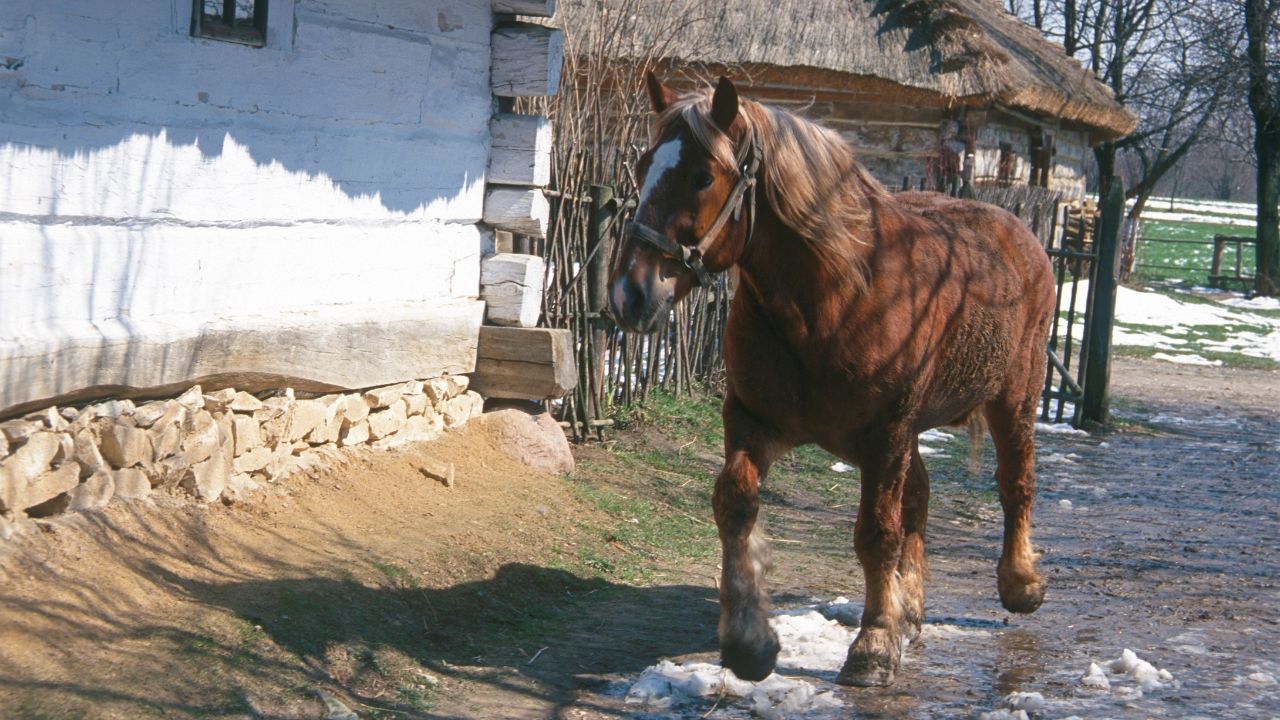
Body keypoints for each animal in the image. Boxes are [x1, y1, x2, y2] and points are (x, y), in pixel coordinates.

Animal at [608, 74, 1056, 687]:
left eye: (702, 176)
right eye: (642, 164)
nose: (629, 294)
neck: (832, 300)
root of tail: (1020, 234)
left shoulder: (886, 435)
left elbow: (877, 534)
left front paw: (874, 643)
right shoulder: (752, 420)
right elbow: (735, 502)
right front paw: (750, 639)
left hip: (1013, 400)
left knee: (1015, 485)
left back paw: (1019, 582)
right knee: (920, 497)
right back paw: (910, 608)